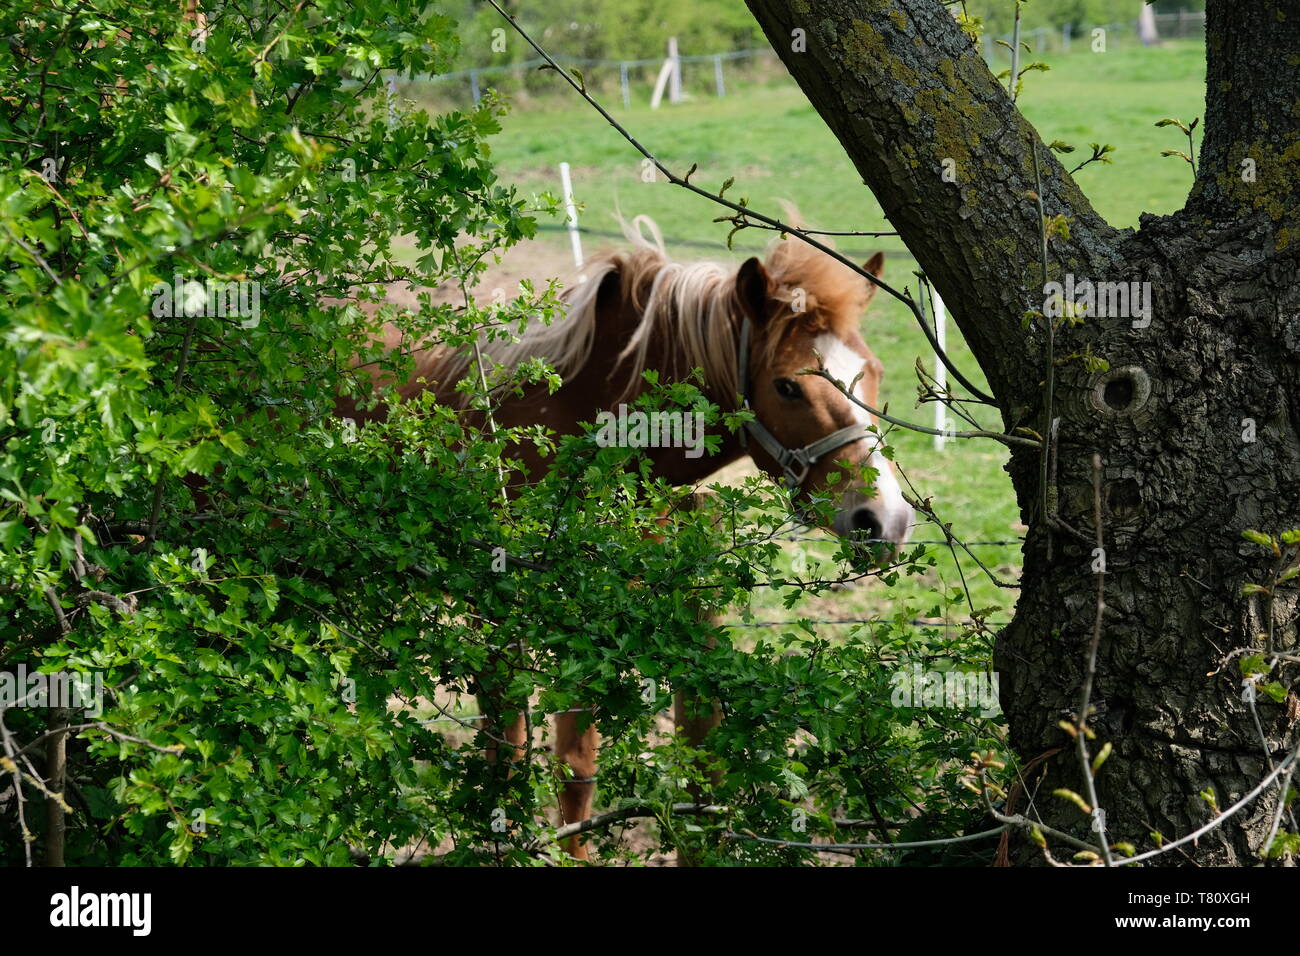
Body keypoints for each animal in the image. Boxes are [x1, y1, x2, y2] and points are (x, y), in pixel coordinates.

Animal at [360, 217, 914, 859]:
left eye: (873, 371)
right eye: (787, 387)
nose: (885, 520)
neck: (574, 423)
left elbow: (591, 770)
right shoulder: (503, 618)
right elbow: (520, 760)